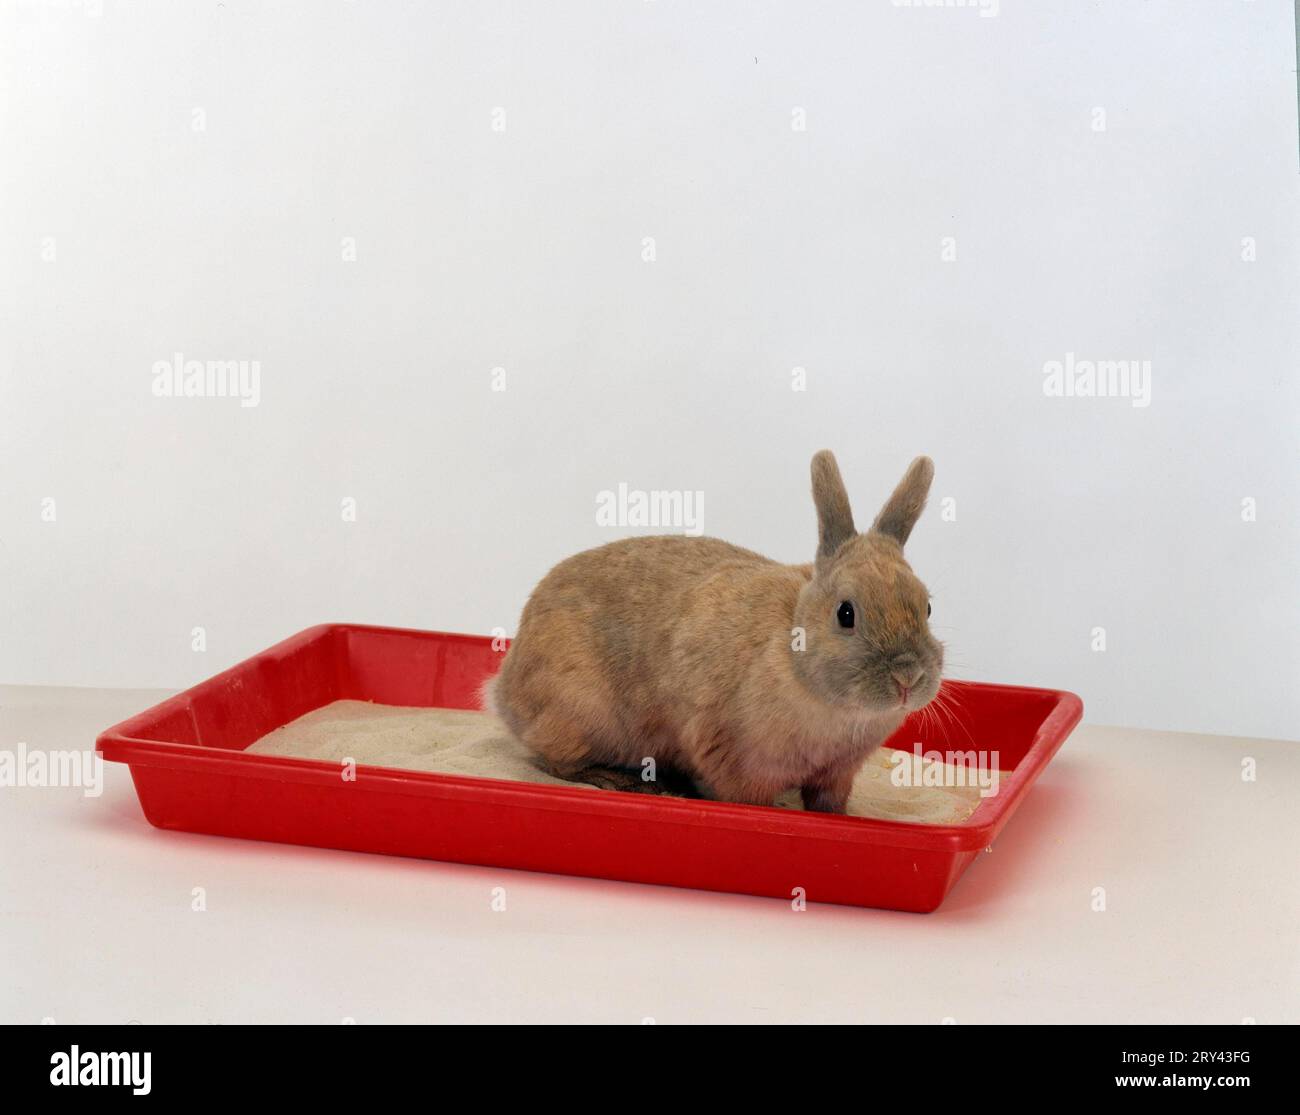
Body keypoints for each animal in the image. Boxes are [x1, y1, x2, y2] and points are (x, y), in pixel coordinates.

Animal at [486, 451, 944, 814]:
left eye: (927, 606)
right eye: (846, 613)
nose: (908, 677)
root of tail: (504, 689)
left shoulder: (836, 774)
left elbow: (828, 805)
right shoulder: (736, 761)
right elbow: (748, 799)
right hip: (581, 712)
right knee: (555, 761)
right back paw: (625, 781)